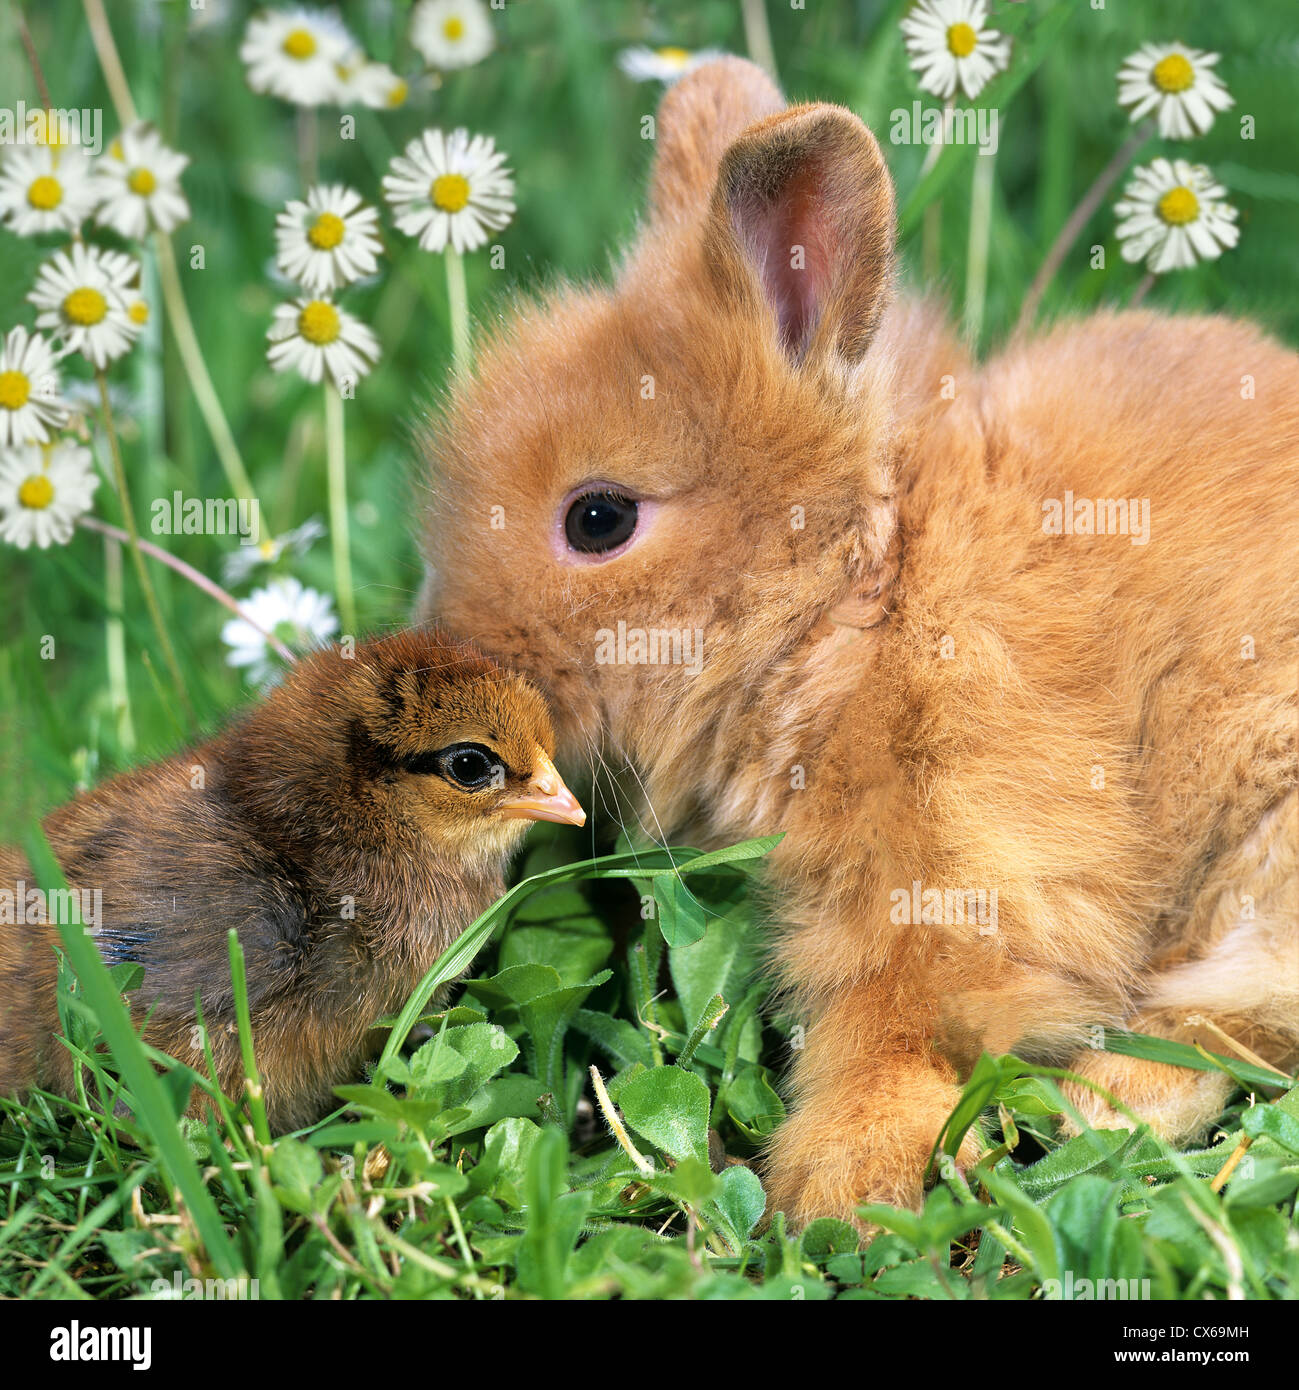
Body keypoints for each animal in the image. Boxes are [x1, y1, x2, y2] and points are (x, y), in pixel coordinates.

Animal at [413, 57, 1299, 1228]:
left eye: (598, 519)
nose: (455, 658)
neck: (862, 593)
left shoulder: (962, 851)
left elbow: (900, 1028)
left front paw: (834, 1187)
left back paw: (1100, 1107)